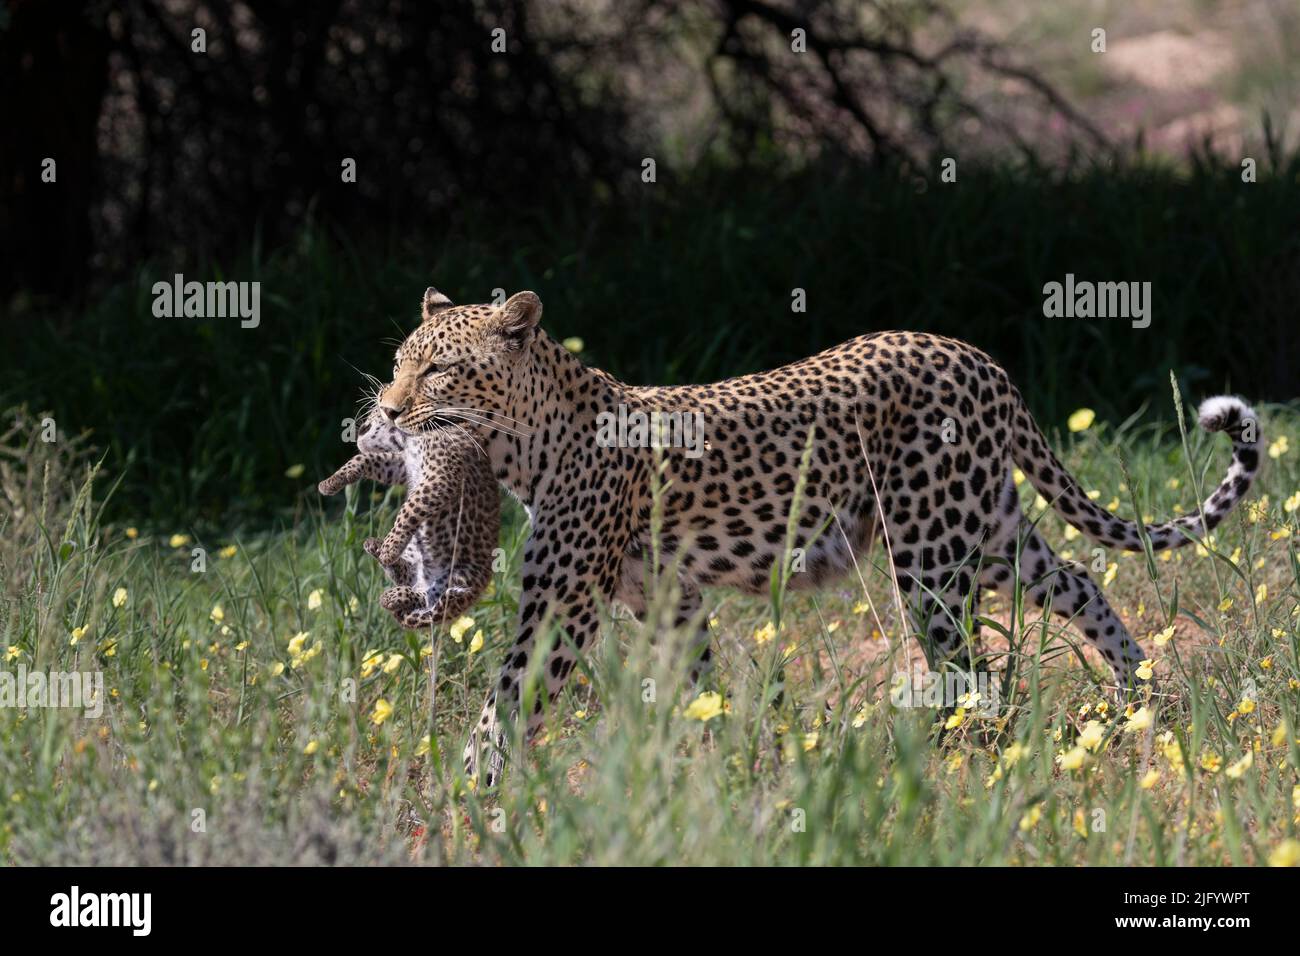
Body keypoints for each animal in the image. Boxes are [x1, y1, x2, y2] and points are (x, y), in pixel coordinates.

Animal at [376, 287, 1261, 787]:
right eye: (397, 362)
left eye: (439, 370)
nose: (384, 410)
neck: (522, 446)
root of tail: (979, 358)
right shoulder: (667, 596)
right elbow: (696, 685)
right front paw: (718, 767)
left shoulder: (563, 603)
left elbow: (505, 699)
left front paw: (472, 791)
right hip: (990, 532)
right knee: (1079, 580)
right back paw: (1140, 695)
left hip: (932, 553)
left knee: (970, 664)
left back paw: (953, 763)